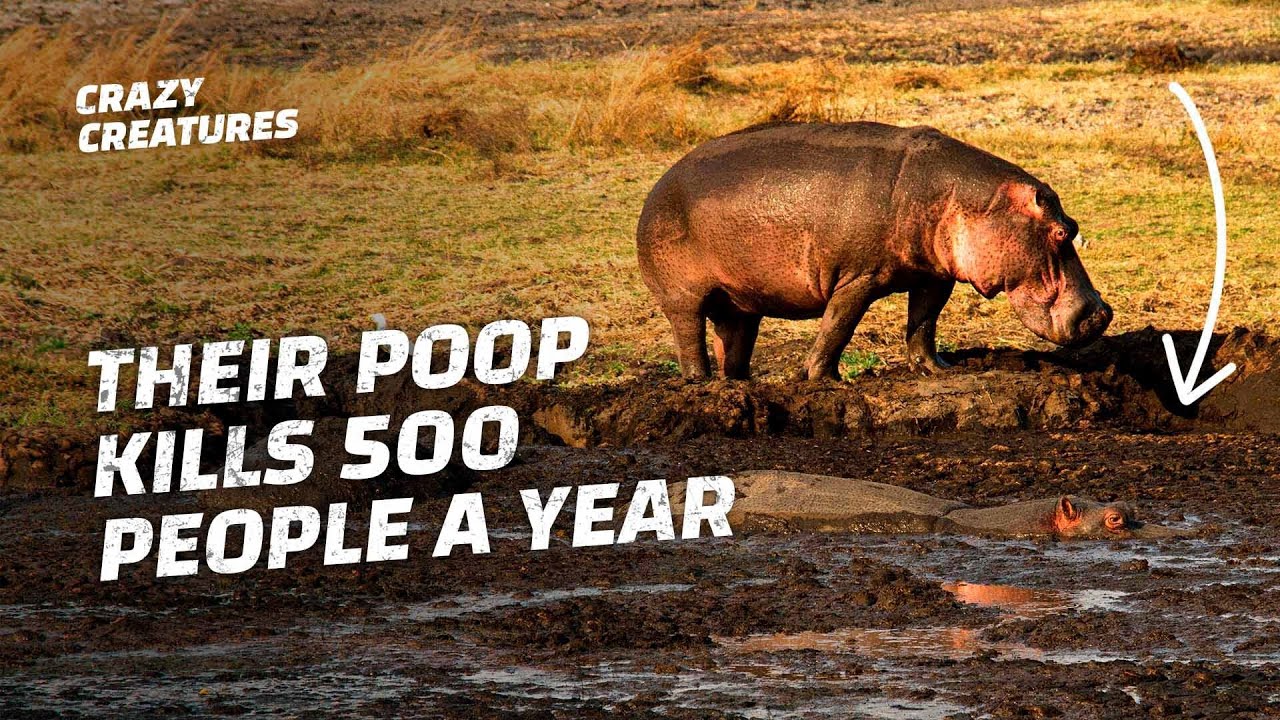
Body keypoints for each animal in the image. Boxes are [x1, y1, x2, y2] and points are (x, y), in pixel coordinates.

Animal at [636, 121, 1113, 380]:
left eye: (1074, 227)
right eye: (1060, 232)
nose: (1102, 312)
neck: (968, 198)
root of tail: (659, 185)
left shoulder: (934, 277)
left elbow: (923, 323)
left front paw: (938, 369)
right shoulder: (857, 278)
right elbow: (837, 327)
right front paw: (825, 380)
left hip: (739, 302)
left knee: (732, 343)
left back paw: (735, 385)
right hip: (684, 297)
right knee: (689, 339)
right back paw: (699, 384)